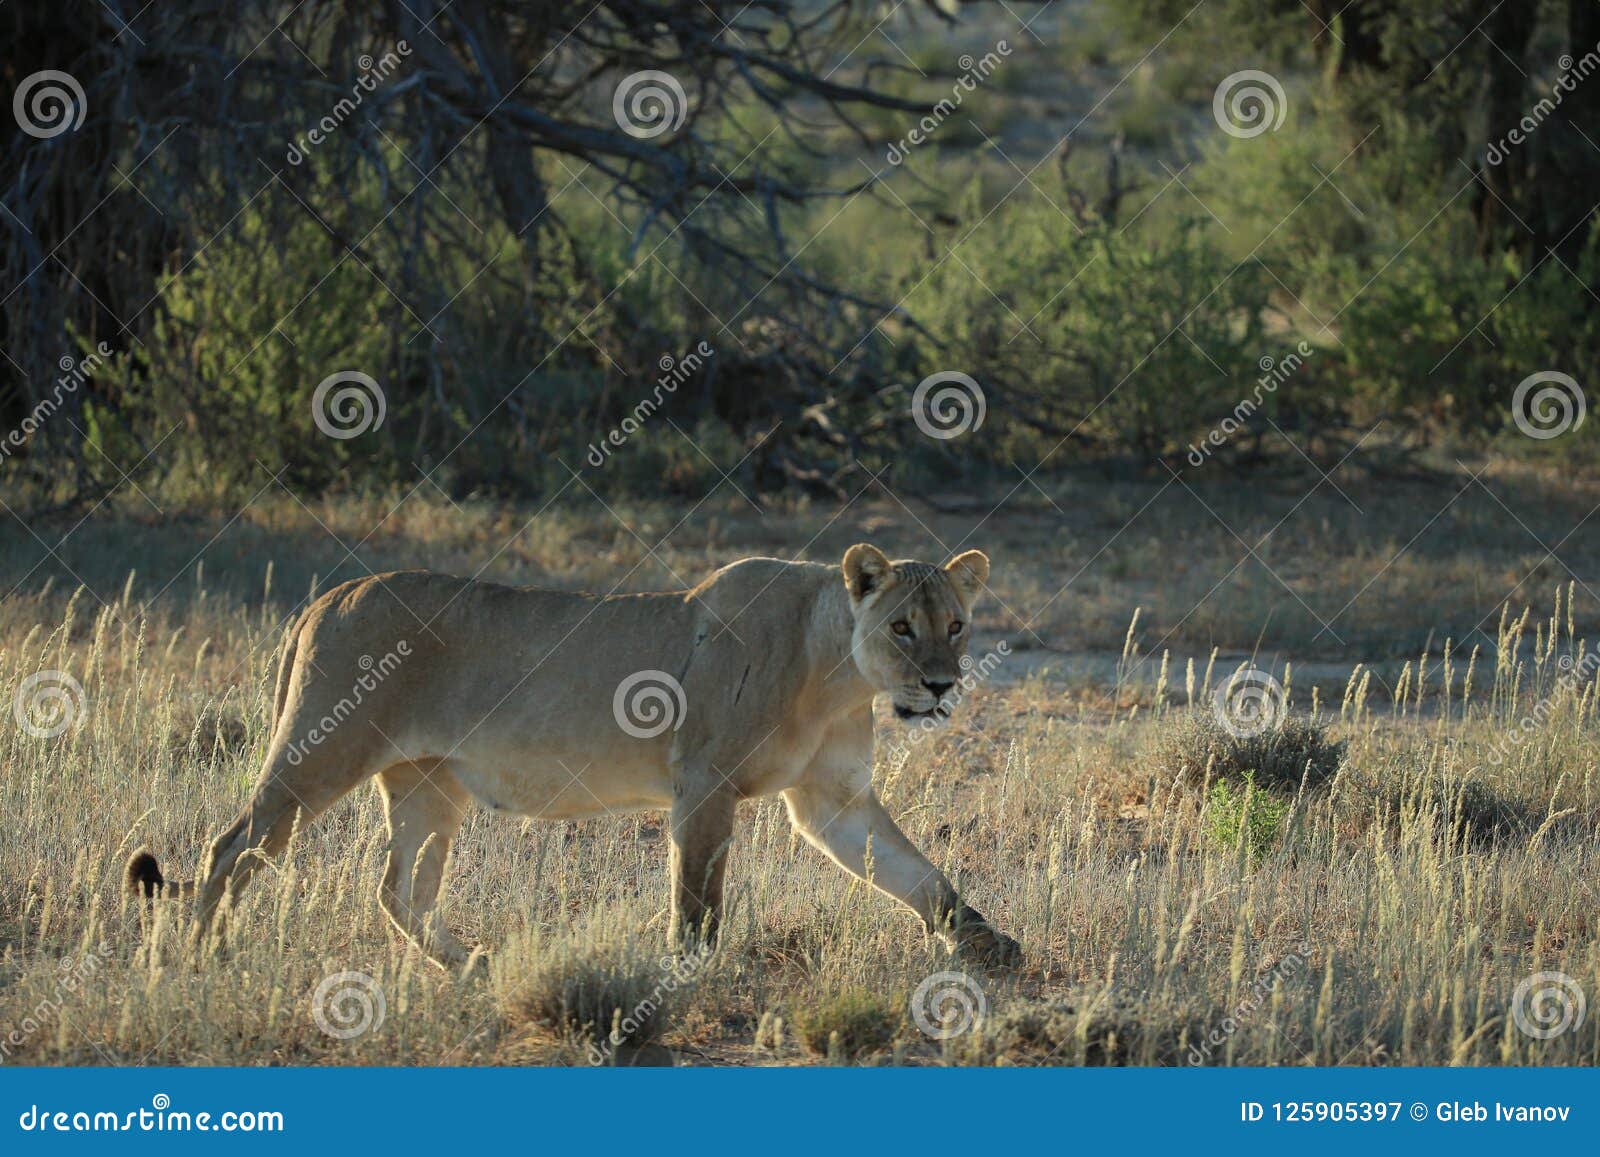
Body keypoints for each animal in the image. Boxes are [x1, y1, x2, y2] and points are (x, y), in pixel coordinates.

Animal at [127, 543, 1021, 972]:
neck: (836, 672)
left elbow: (916, 873)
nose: (941, 684)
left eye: (956, 624)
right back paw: (198, 958)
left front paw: (988, 945)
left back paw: (473, 965)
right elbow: (697, 902)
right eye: (902, 626)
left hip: (429, 785)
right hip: (322, 750)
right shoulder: (703, 784)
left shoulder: (832, 801)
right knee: (232, 846)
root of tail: (326, 595)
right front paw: (691, 974)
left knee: (397, 891)